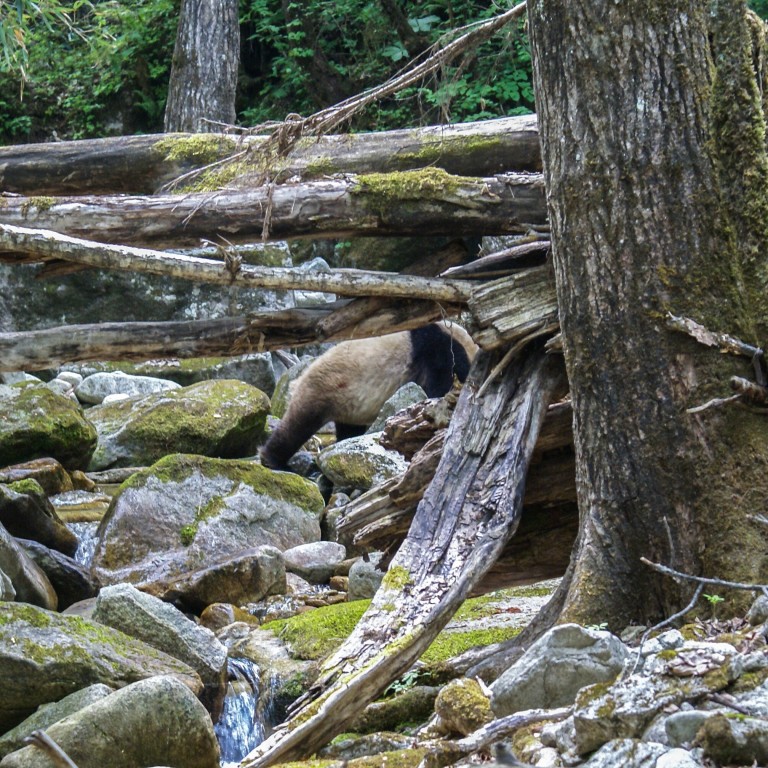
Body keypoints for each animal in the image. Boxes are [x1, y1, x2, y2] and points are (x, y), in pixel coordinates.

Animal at [260, 321, 478, 471]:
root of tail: (298, 381)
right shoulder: (438, 351)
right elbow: (440, 386)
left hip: (344, 401)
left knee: (347, 428)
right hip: (321, 390)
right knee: (298, 426)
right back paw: (273, 460)